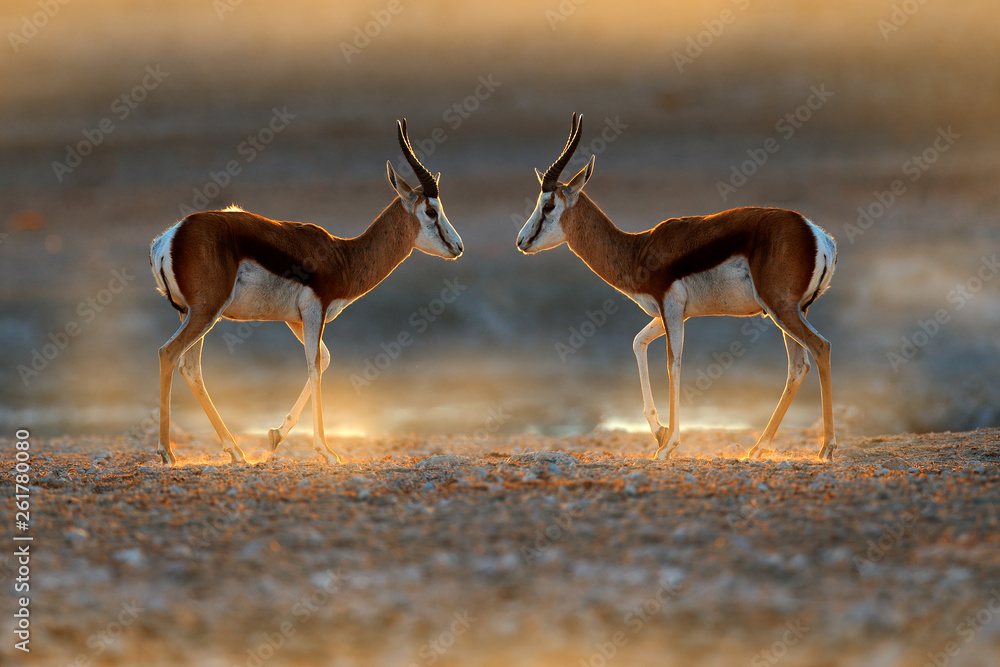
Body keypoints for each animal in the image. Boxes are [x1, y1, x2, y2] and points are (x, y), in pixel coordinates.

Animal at [149, 120, 463, 465]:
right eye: (432, 211)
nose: (458, 247)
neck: (343, 255)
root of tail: (169, 237)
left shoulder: (294, 318)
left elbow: (323, 359)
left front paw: (275, 436)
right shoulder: (316, 309)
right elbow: (314, 366)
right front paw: (326, 451)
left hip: (192, 313)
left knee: (191, 368)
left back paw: (236, 452)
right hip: (206, 312)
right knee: (168, 353)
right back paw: (167, 452)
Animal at [516, 114, 838, 461]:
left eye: (548, 205)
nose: (521, 241)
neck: (638, 249)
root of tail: (817, 235)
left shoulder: (670, 307)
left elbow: (673, 364)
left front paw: (668, 445)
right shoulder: (672, 313)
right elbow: (638, 343)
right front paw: (660, 434)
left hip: (781, 310)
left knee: (821, 347)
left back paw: (826, 448)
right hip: (790, 312)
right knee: (798, 366)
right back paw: (757, 448)